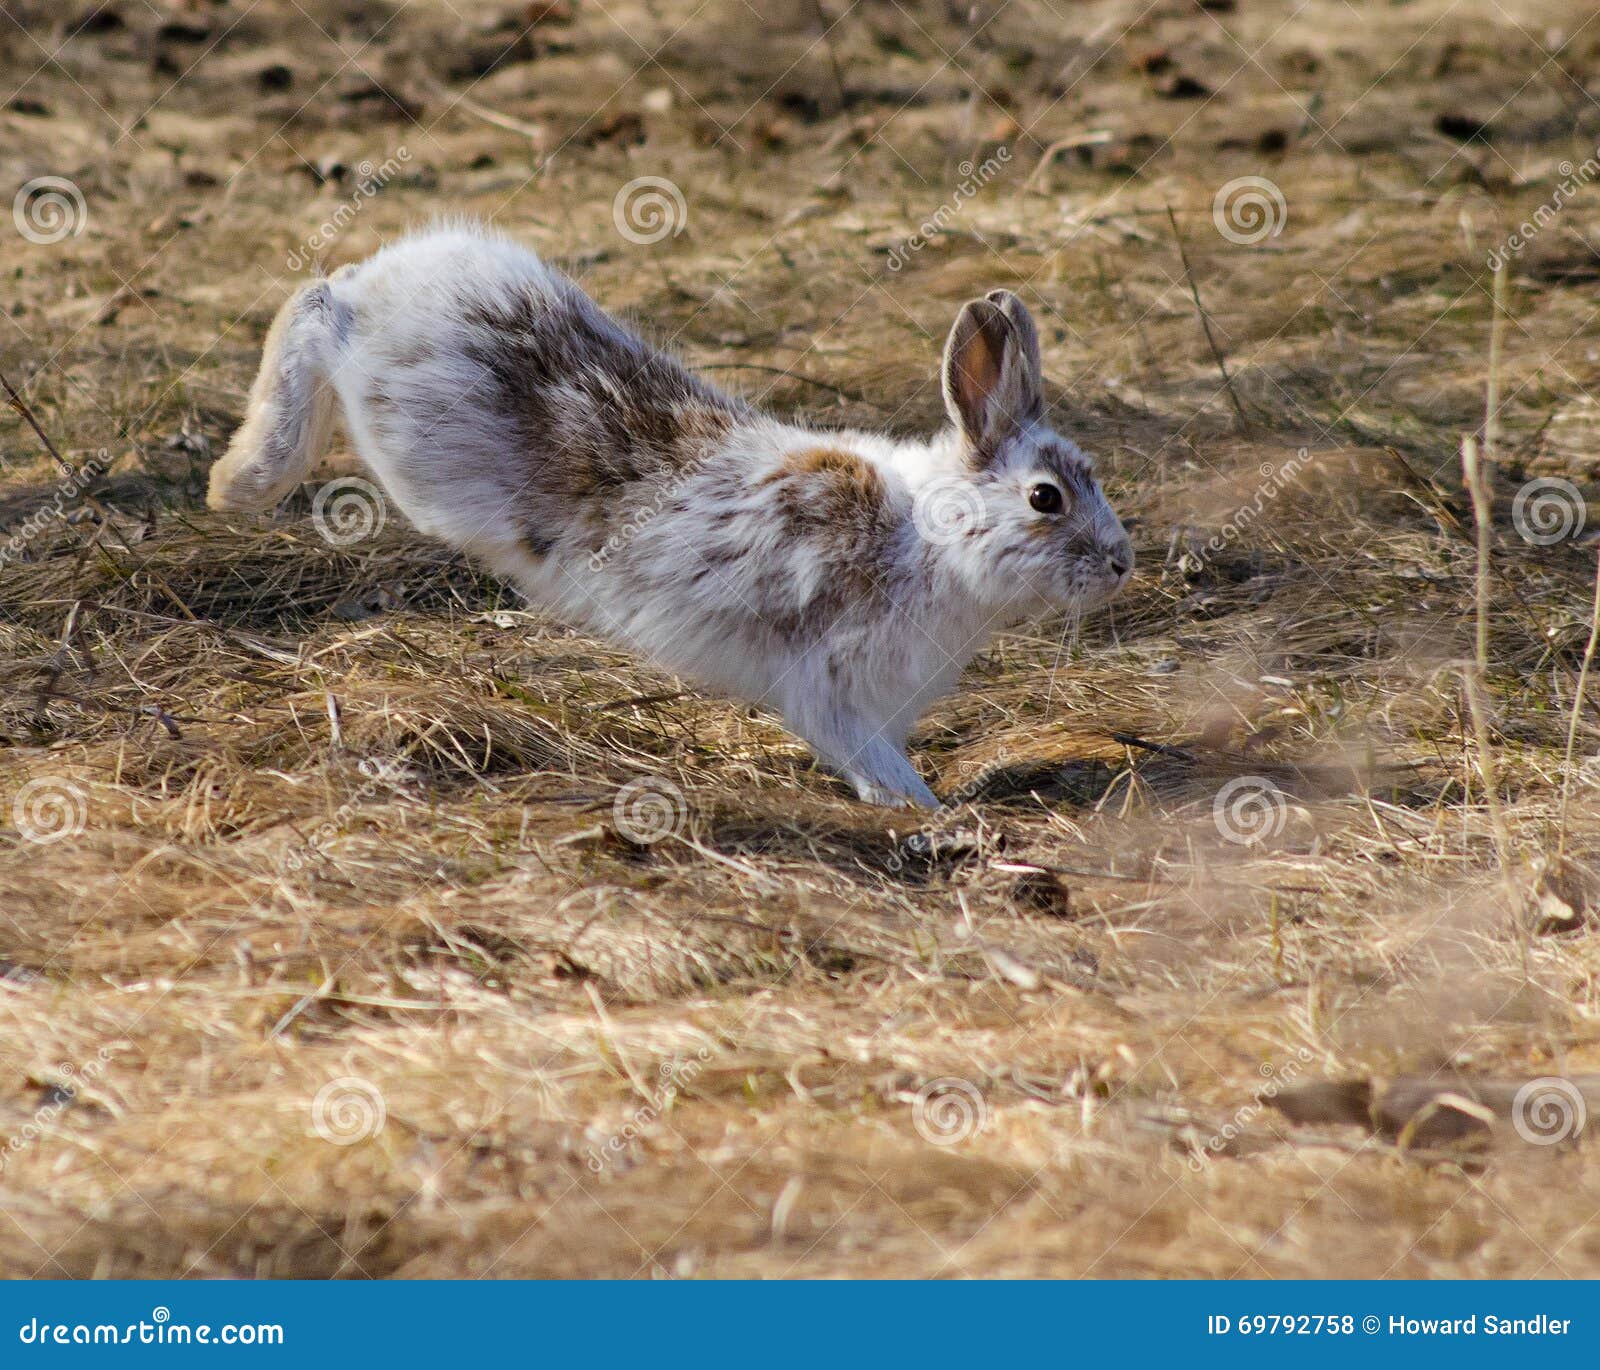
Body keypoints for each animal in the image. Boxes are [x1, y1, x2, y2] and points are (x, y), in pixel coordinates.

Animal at [207, 224, 1133, 808]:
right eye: (1046, 498)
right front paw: (921, 807)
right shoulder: (831, 685)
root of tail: (404, 273)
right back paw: (239, 478)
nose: (1121, 564)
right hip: (409, 445)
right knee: (316, 305)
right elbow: (868, 757)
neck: (931, 536)